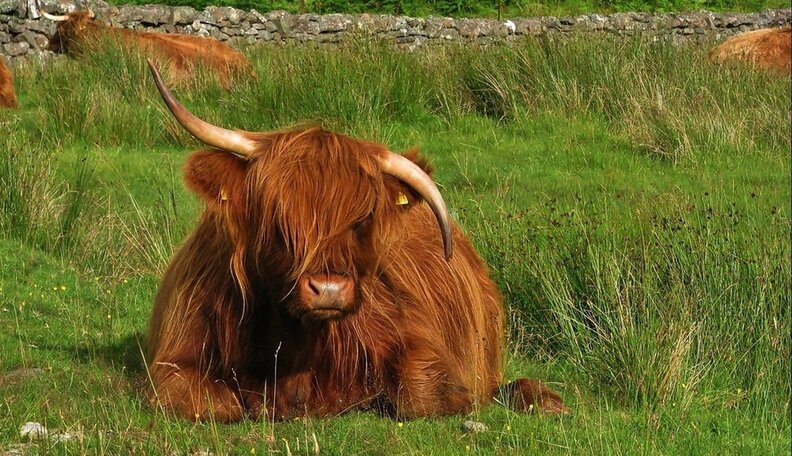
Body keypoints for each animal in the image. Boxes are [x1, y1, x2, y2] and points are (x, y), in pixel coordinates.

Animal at [144, 60, 568, 423]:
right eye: (277, 218)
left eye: (362, 220)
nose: (329, 288)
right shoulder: (174, 357)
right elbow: (214, 403)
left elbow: (421, 394)